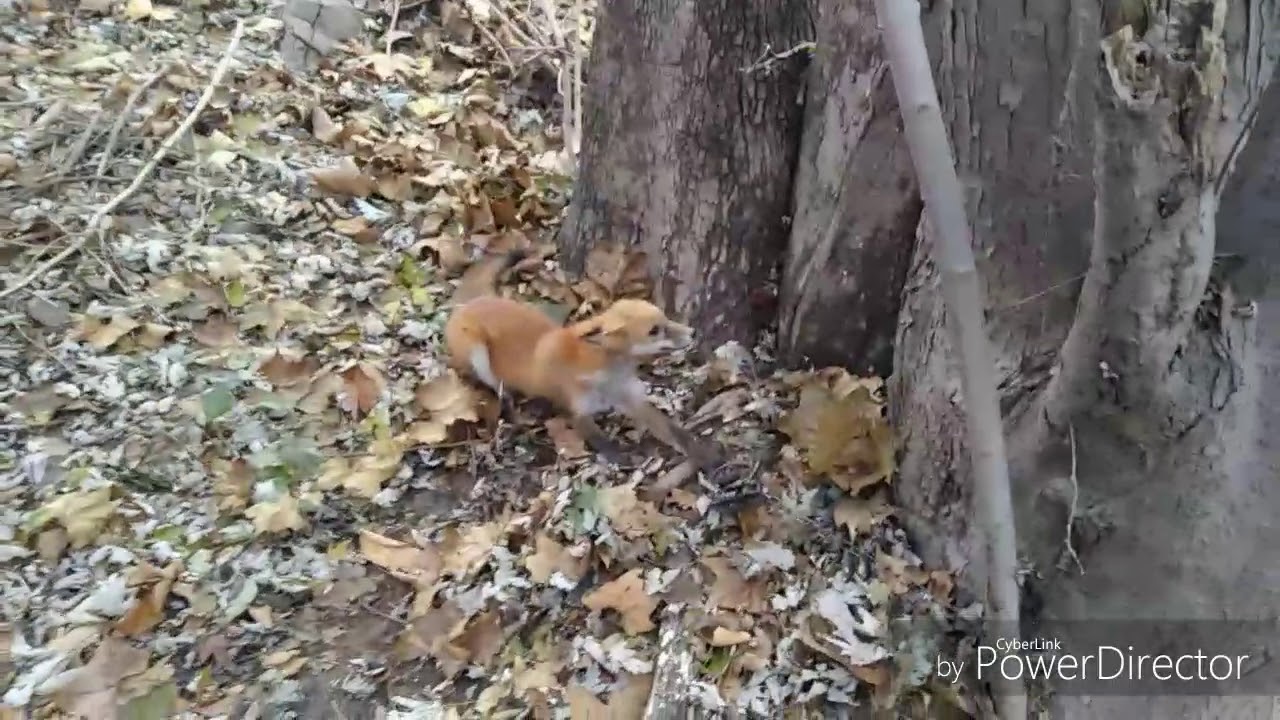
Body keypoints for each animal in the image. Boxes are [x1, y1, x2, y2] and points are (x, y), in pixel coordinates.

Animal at [442, 249, 719, 471]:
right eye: (655, 330)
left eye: (665, 318)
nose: (693, 333)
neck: (608, 375)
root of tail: (470, 303)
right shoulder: (579, 412)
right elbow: (602, 441)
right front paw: (621, 456)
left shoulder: (633, 399)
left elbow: (675, 432)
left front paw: (705, 454)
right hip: (479, 355)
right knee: (499, 392)